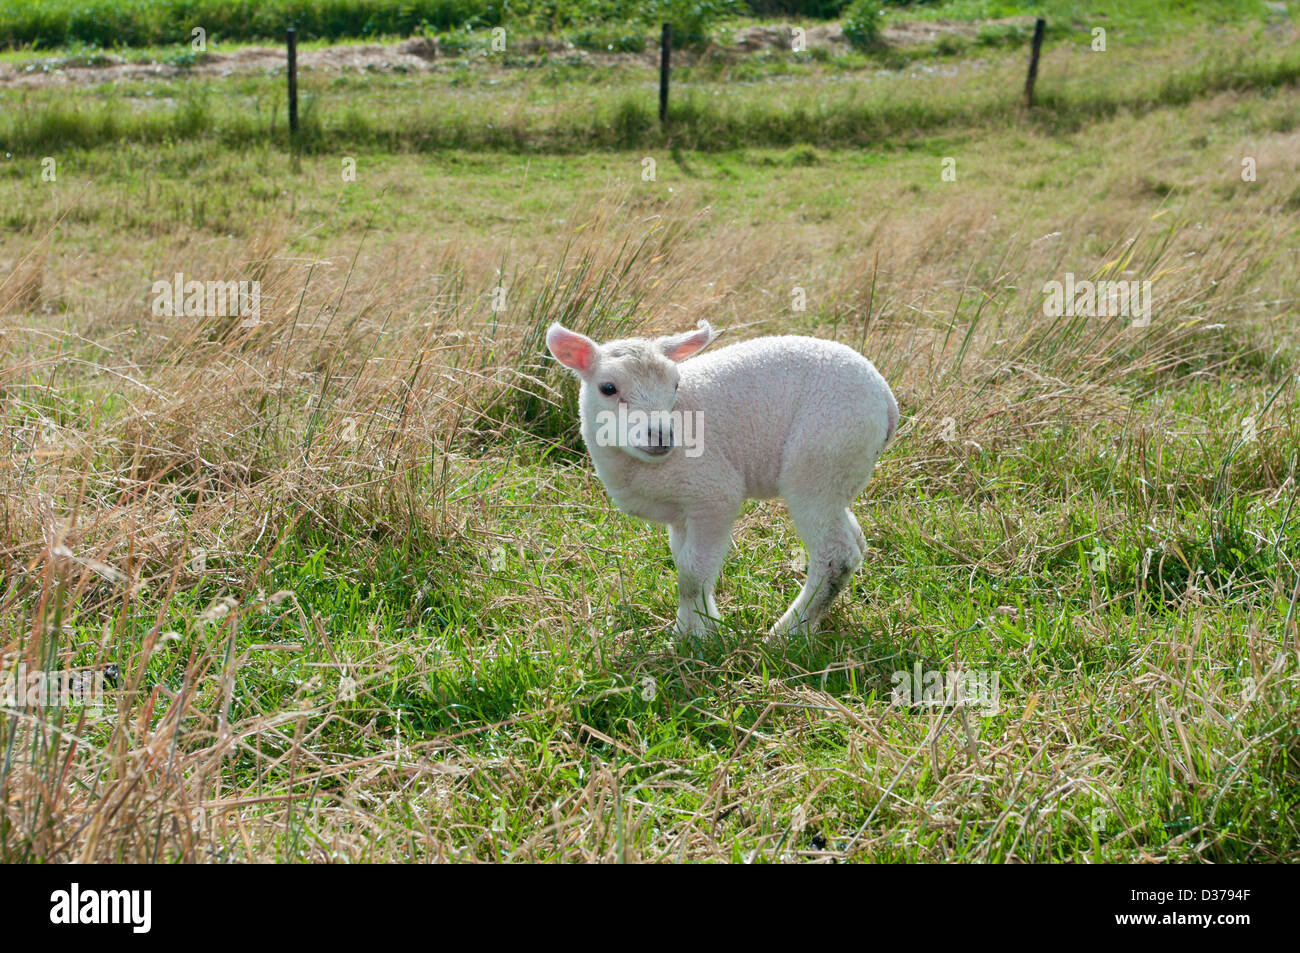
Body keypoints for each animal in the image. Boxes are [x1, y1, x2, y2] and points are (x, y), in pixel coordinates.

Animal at [545, 319, 898, 642]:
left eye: (675, 385)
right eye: (608, 388)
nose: (661, 435)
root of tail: (885, 397)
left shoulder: (712, 493)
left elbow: (691, 575)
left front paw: (690, 639)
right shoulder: (682, 512)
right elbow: (688, 565)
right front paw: (705, 625)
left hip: (821, 457)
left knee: (836, 556)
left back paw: (785, 634)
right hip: (839, 473)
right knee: (855, 541)